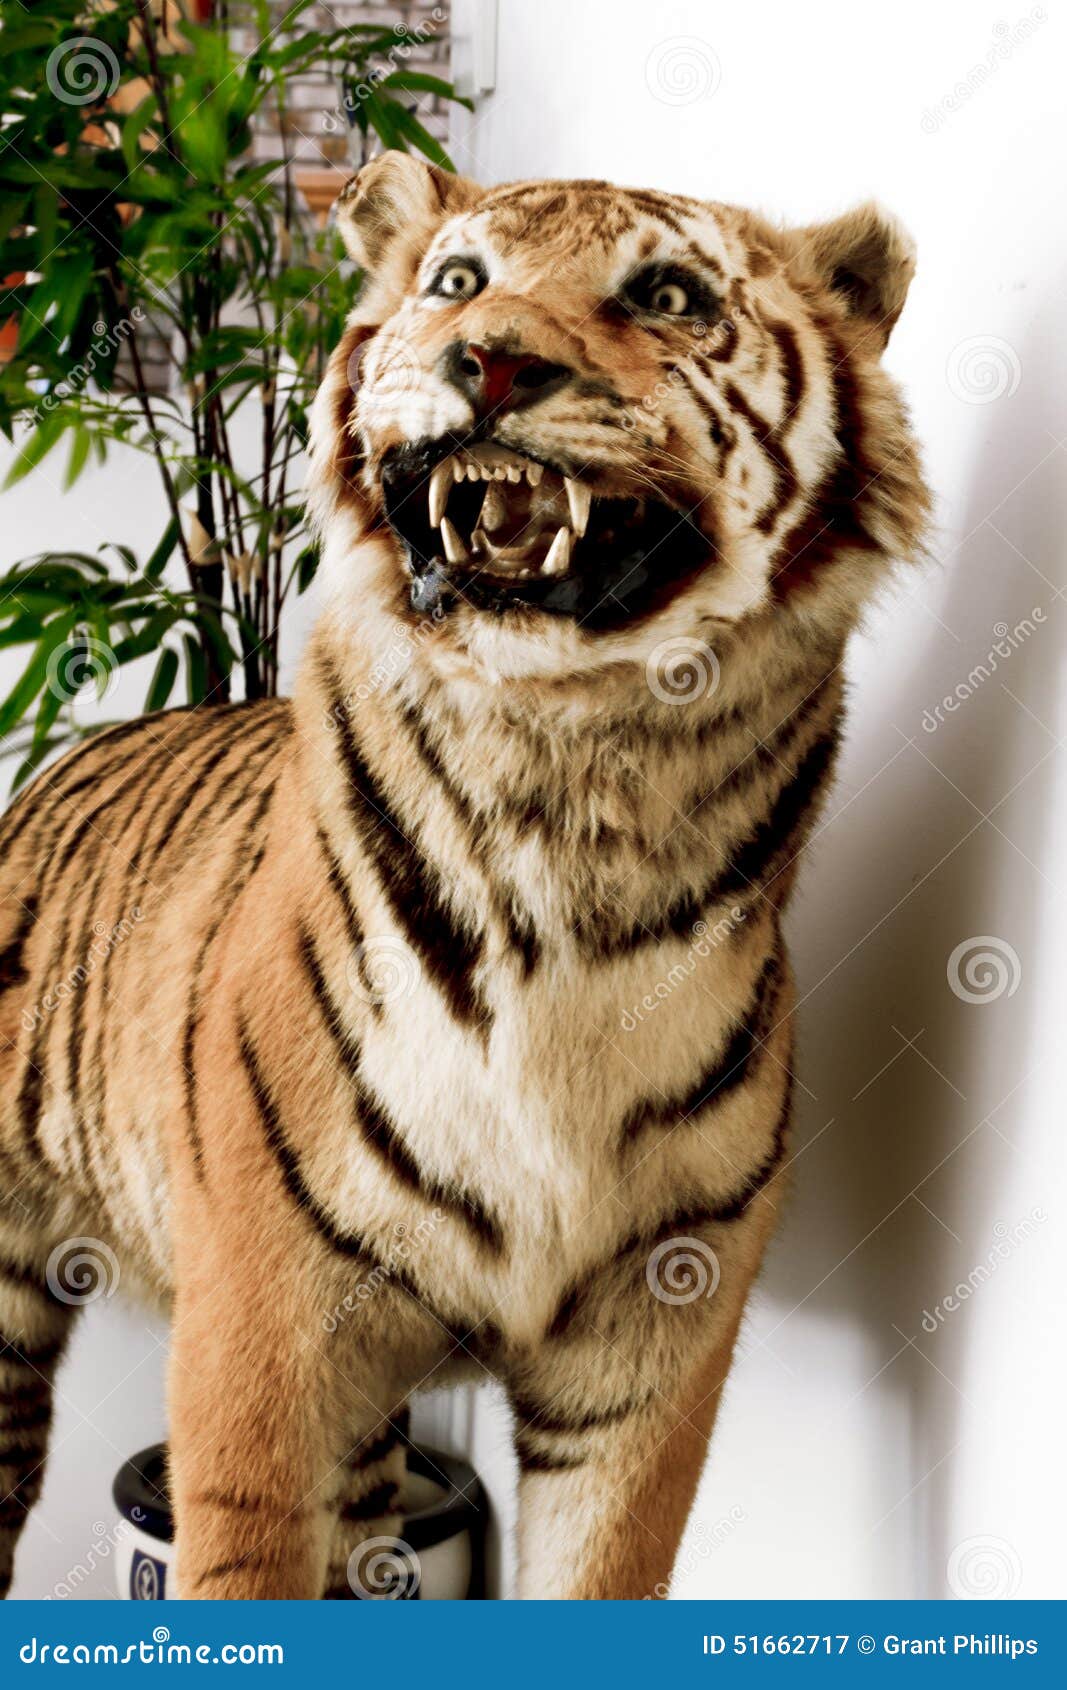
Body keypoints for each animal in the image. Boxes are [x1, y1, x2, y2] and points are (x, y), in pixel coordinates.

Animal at [0, 152, 928, 1601]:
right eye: (456, 279)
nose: (487, 359)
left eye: (667, 295)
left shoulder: (648, 1343)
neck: (565, 806)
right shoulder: (259, 1334)